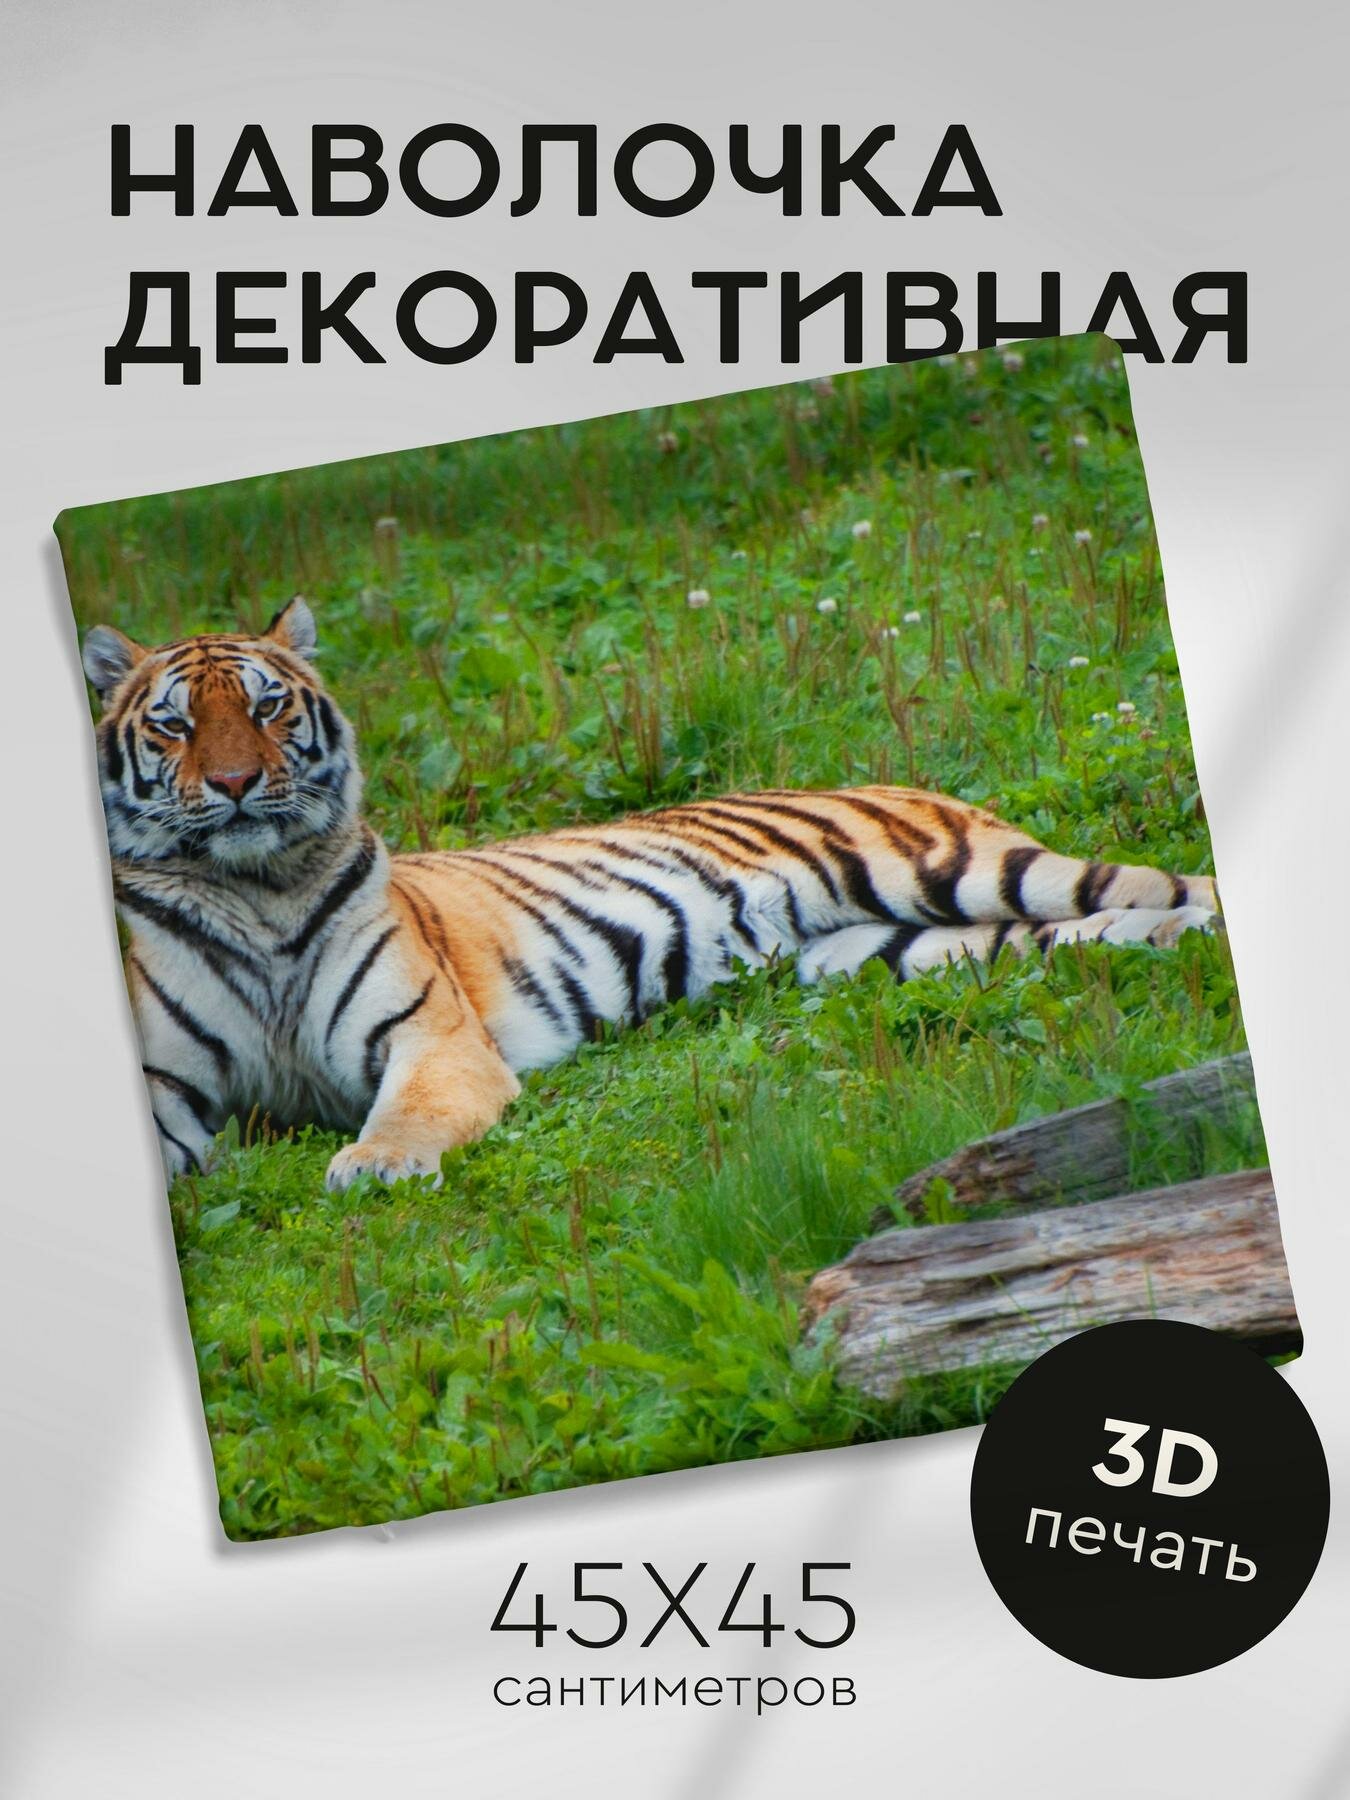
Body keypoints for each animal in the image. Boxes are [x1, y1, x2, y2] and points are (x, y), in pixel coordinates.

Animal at [81, 597, 1219, 1192]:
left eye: (269, 707)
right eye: (176, 725)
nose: (235, 784)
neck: (256, 888)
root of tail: (895, 778)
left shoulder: (430, 1039)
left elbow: (407, 1113)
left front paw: (373, 1167)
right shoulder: (166, 1085)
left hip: (958, 869)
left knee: (1151, 882)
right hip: (893, 953)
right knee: (1082, 933)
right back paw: (1168, 947)